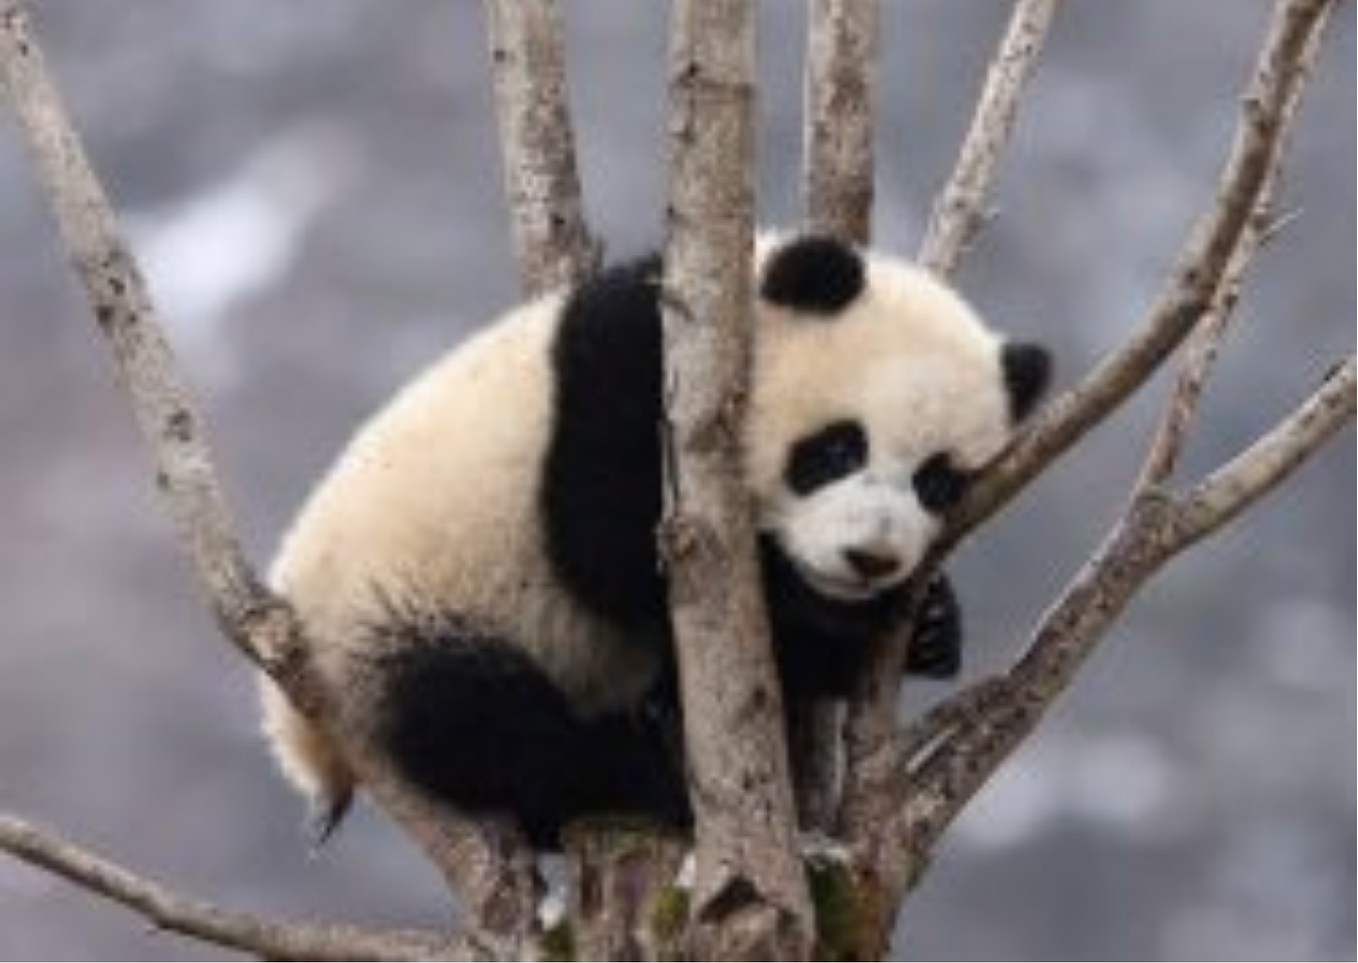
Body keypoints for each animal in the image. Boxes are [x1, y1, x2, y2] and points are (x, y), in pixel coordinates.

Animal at [259, 233, 1050, 847]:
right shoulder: (635, 364)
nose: (870, 560)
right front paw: (833, 613)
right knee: (476, 717)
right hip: (388, 618)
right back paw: (642, 777)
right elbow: (606, 543)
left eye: (938, 481)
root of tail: (304, 743)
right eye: (835, 449)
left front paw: (930, 626)